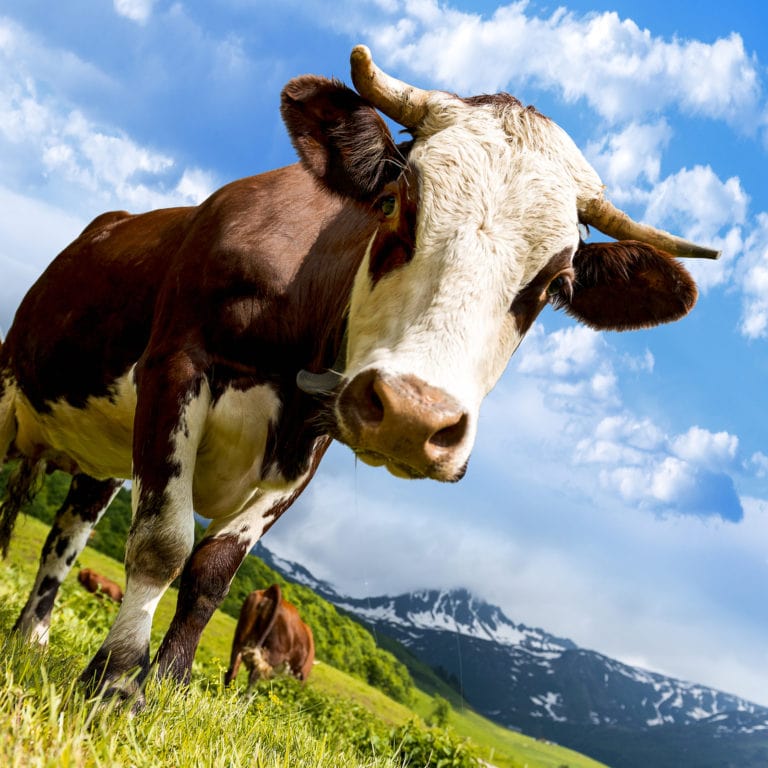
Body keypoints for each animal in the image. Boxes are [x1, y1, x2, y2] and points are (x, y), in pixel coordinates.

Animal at [0, 45, 718, 706]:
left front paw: (167, 688)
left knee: (65, 533)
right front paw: (116, 680)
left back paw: (30, 636)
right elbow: (162, 543)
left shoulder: (309, 445)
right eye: (395, 202)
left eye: (556, 283)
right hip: (13, 388)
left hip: (101, 459)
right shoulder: (176, 367)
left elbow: (212, 570)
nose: (412, 415)